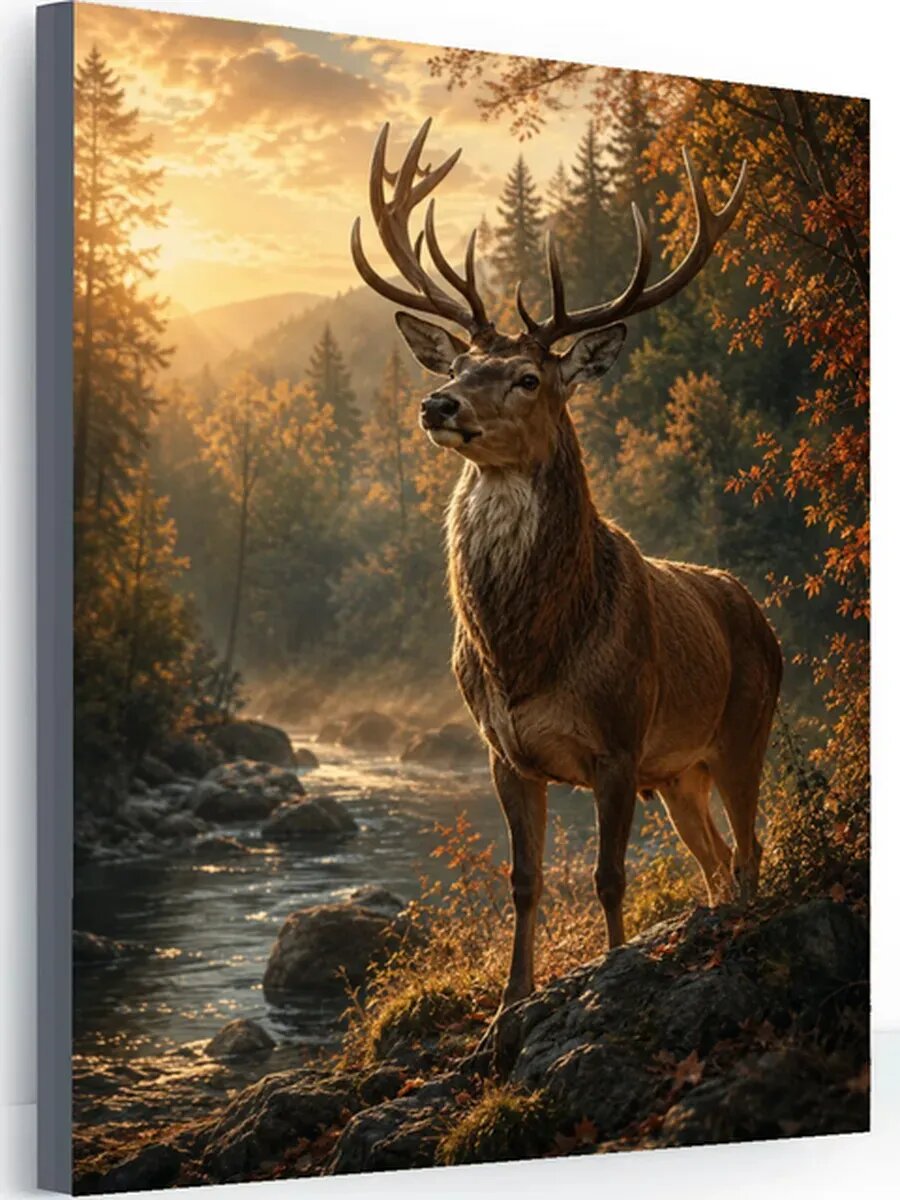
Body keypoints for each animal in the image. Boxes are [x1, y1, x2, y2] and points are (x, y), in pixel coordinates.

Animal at [351, 119, 783, 1022]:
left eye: (527, 377)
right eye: (456, 368)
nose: (437, 404)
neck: (527, 651)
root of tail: (755, 610)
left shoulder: (620, 739)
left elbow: (609, 878)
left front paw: (611, 979)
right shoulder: (505, 751)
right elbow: (525, 881)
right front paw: (508, 1016)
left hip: (744, 728)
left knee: (750, 848)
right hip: (679, 773)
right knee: (713, 860)